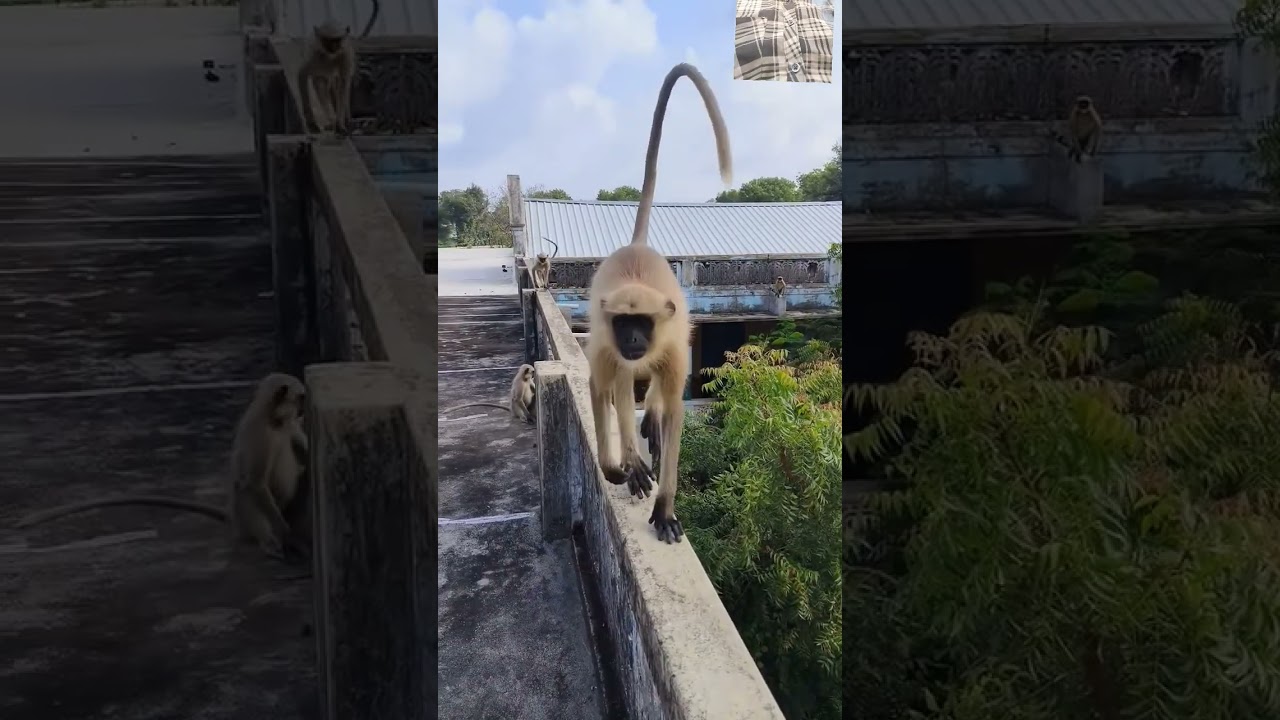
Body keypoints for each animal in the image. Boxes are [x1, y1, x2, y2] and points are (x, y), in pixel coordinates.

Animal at [14, 374, 311, 564]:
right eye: (301, 398)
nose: (302, 410)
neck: (274, 420)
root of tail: (234, 520)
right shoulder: (259, 435)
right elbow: (255, 482)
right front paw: (285, 533)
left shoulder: (285, 427)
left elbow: (299, 445)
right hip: (244, 514)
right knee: (245, 490)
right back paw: (268, 540)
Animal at [586, 63, 732, 544]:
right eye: (624, 323)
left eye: (643, 323)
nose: (633, 338)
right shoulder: (606, 343)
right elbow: (602, 389)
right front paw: (620, 468)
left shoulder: (669, 344)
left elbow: (675, 418)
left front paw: (666, 507)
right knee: (618, 384)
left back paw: (648, 415)